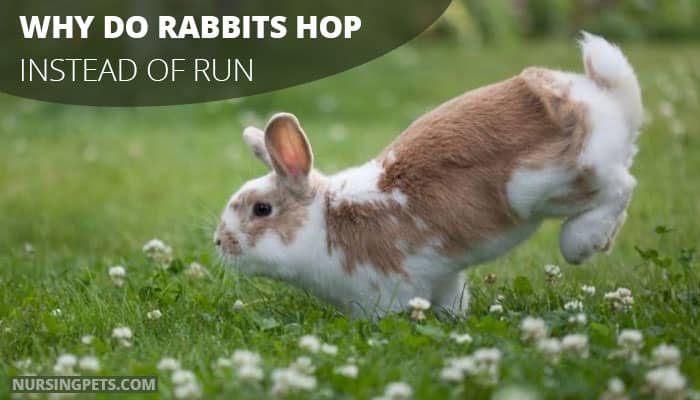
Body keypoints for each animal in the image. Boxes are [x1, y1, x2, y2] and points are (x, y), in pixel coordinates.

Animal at [214, 33, 643, 318]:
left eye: (262, 210)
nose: (219, 242)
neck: (325, 220)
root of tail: (603, 98)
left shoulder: (386, 289)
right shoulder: (443, 277)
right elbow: (452, 301)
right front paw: (455, 321)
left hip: (548, 184)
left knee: (621, 186)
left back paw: (582, 243)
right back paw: (601, 241)